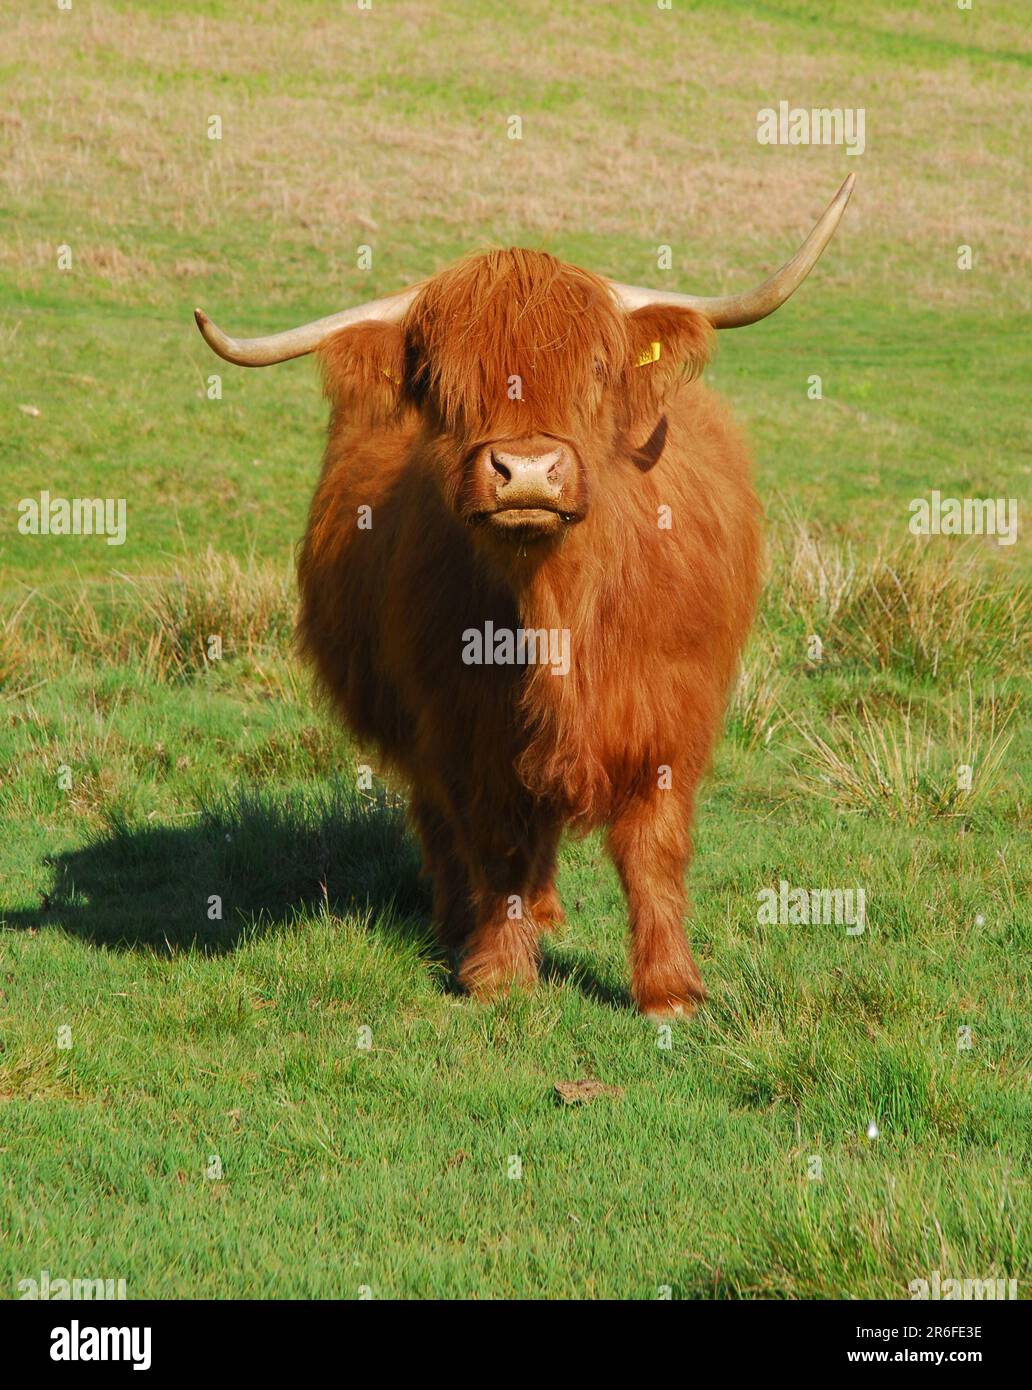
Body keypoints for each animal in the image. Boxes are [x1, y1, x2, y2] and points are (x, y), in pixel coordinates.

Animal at [195, 175, 854, 1018]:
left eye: (597, 372)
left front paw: (670, 989)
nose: (529, 472)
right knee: (443, 823)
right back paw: (462, 922)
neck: (557, 607)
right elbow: (496, 838)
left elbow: (653, 849)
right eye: (442, 384)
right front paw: (501, 974)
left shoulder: (668, 713)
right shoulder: (461, 718)